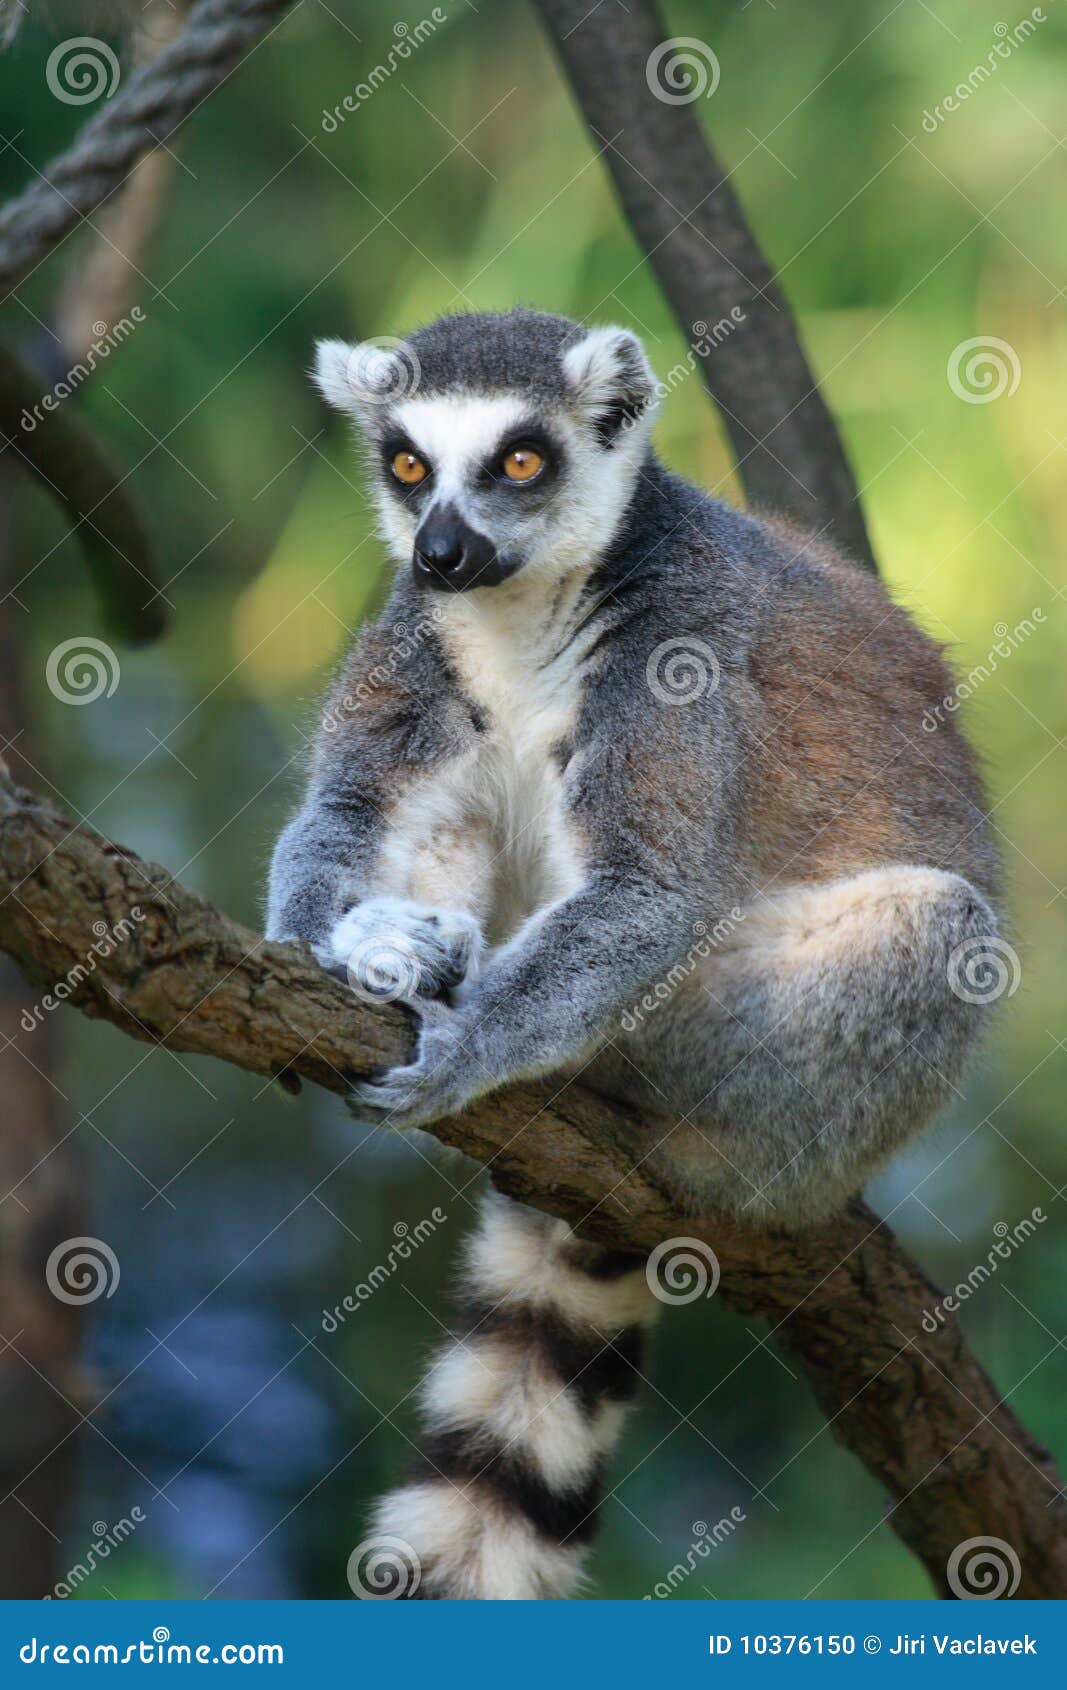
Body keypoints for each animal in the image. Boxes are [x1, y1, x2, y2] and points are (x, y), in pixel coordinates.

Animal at [266, 308, 1002, 1598]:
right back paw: (422, 947)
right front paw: (360, 943)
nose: (440, 552)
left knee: (939, 934)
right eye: (406, 463)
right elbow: (346, 820)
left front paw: (467, 1046)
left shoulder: (676, 649)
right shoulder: (416, 643)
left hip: (695, 1041)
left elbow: (648, 893)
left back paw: (670, 1132)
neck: (519, 616)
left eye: (519, 461)